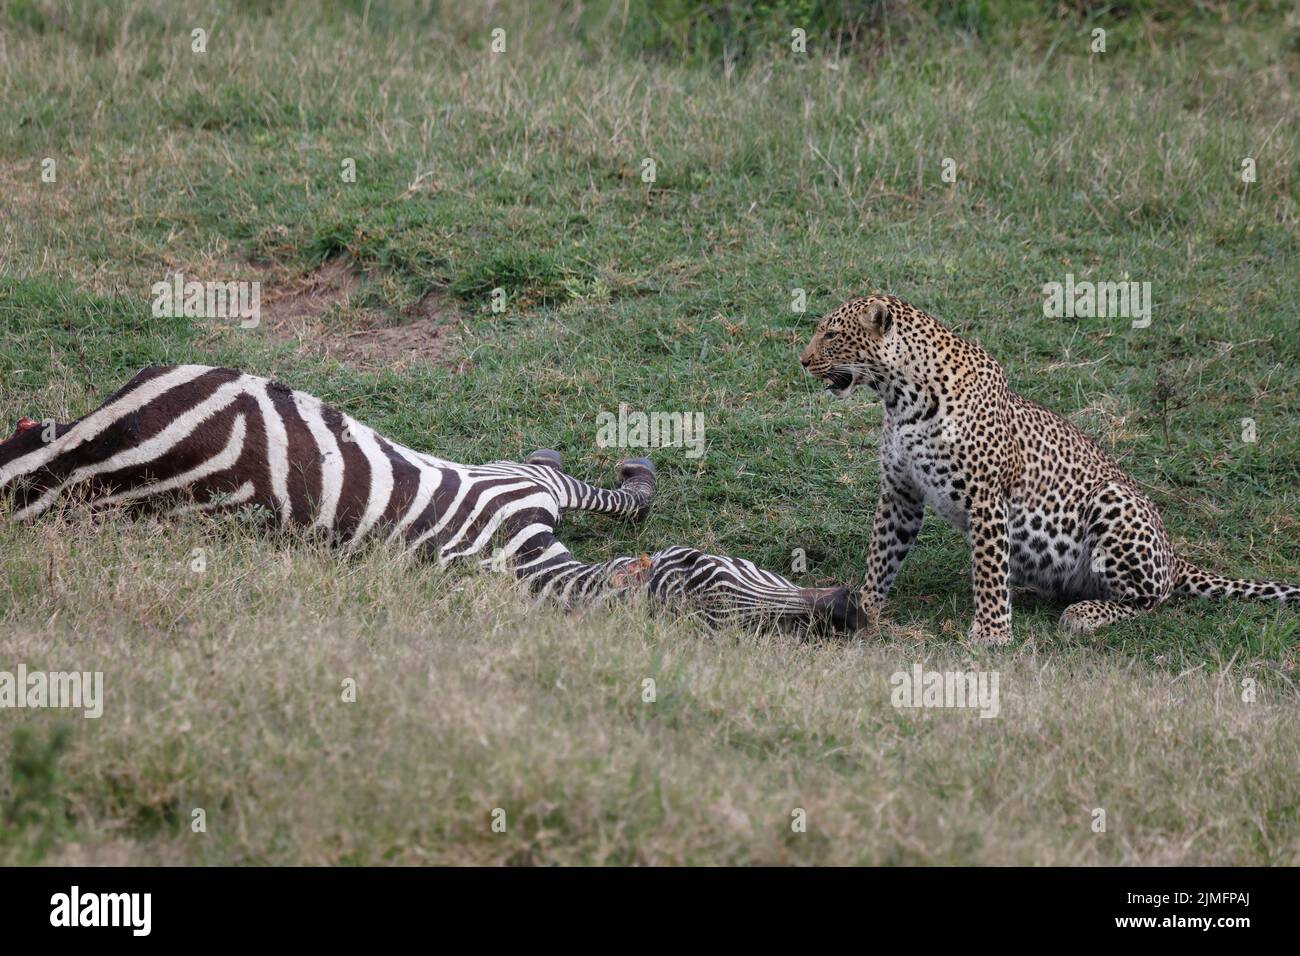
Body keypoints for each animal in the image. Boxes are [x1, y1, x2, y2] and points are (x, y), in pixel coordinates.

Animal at [799, 293, 1299, 644]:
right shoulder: (900, 492)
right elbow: (882, 554)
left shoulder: (986, 498)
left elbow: (987, 567)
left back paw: (1083, 614)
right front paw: (866, 607)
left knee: (1148, 599)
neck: (899, 396)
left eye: (832, 335)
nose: (802, 360)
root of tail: (1175, 557)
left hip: (1114, 502)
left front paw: (992, 633)